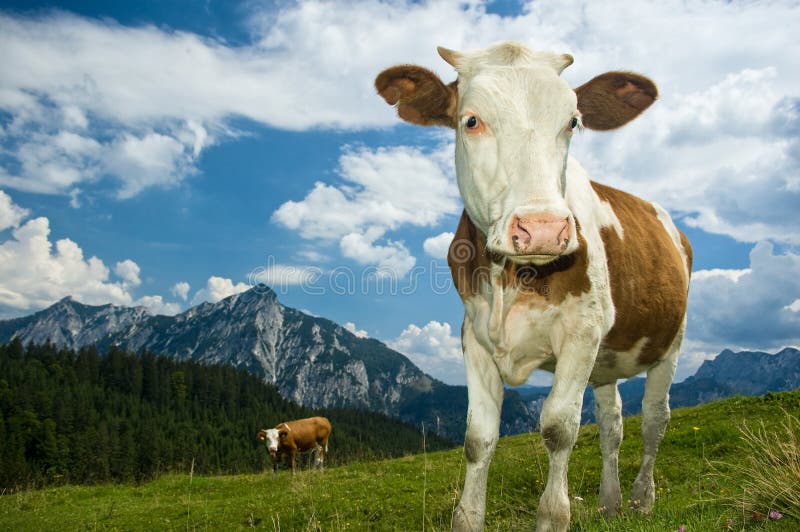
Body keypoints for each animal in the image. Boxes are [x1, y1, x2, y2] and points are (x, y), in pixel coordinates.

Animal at [378, 42, 692, 532]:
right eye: (471, 120)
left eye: (573, 121)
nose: (543, 229)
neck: (511, 275)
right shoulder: (474, 337)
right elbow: (478, 436)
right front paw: (467, 517)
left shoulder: (582, 333)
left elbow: (559, 427)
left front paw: (553, 515)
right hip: (606, 362)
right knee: (612, 423)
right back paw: (610, 502)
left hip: (669, 342)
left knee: (655, 419)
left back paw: (642, 499)